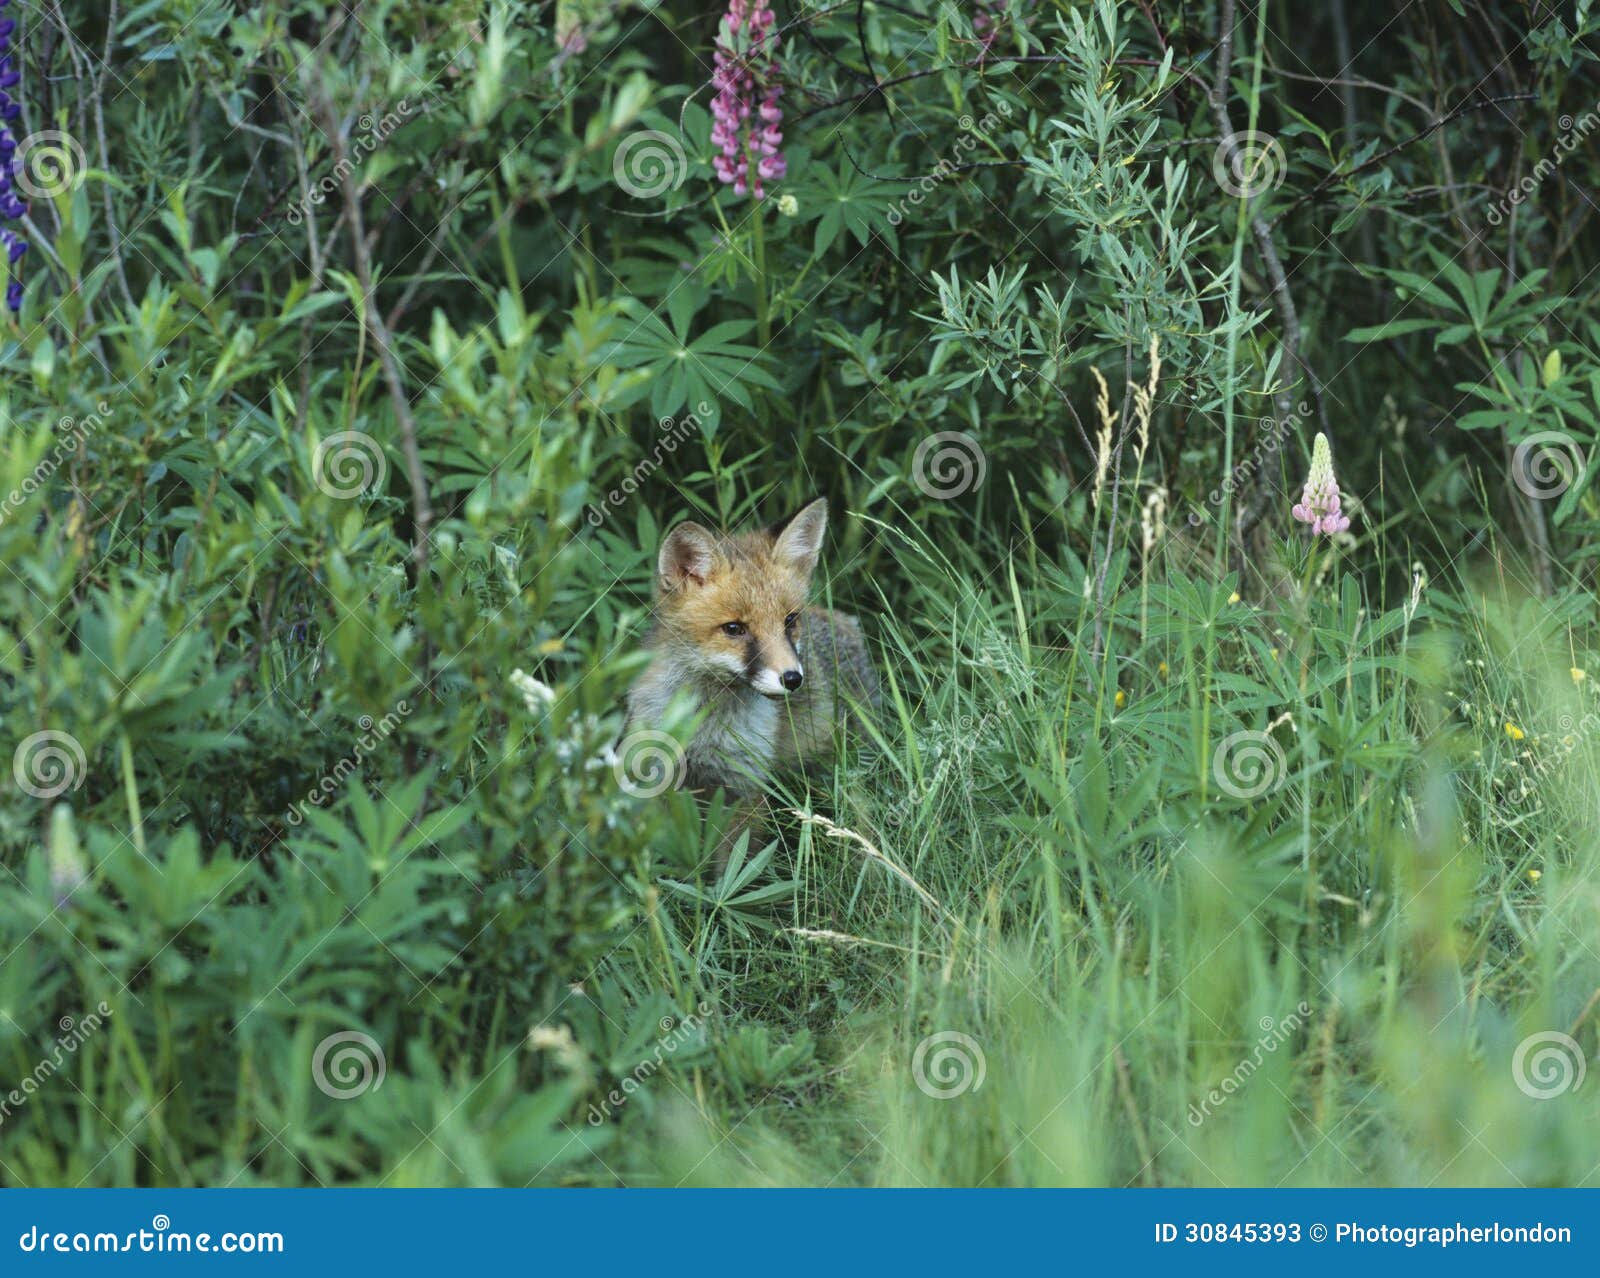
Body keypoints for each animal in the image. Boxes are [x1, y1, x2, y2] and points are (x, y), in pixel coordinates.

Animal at [624, 498, 880, 806]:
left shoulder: (746, 785)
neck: (707, 728)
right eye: (734, 628)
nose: (792, 679)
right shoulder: (658, 773)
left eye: (790, 621)